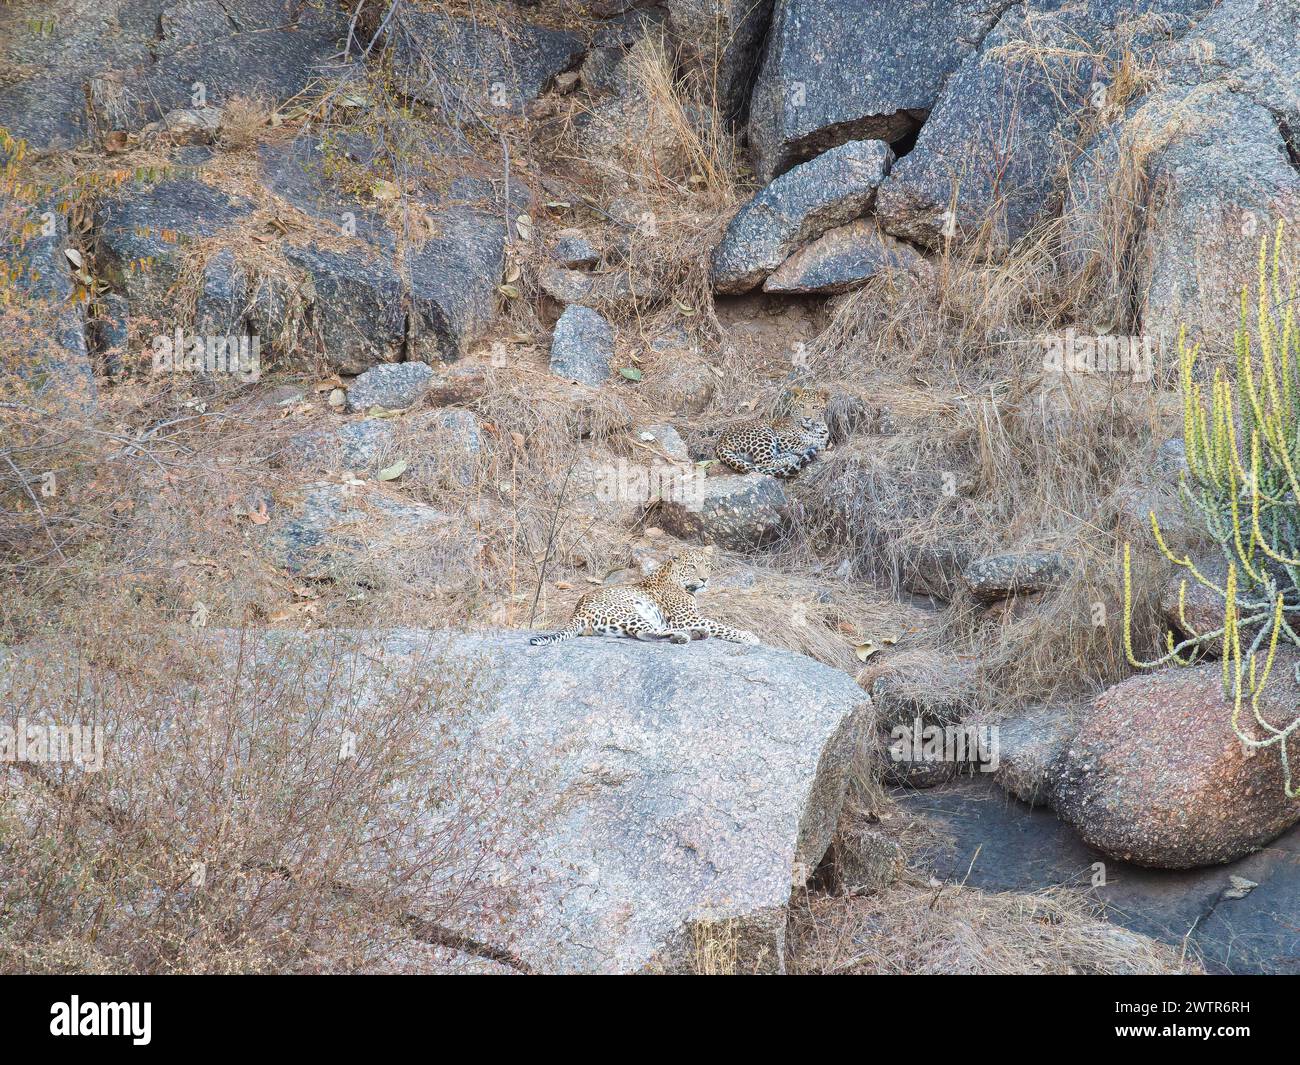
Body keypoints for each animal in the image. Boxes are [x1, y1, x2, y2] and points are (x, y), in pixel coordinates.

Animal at [528, 546, 760, 646]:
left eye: (707, 565)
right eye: (692, 567)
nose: (705, 579)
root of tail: (577, 612)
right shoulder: (686, 617)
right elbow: (720, 625)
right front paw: (748, 636)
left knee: (645, 633)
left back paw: (692, 635)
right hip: (630, 613)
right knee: (648, 632)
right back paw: (689, 635)